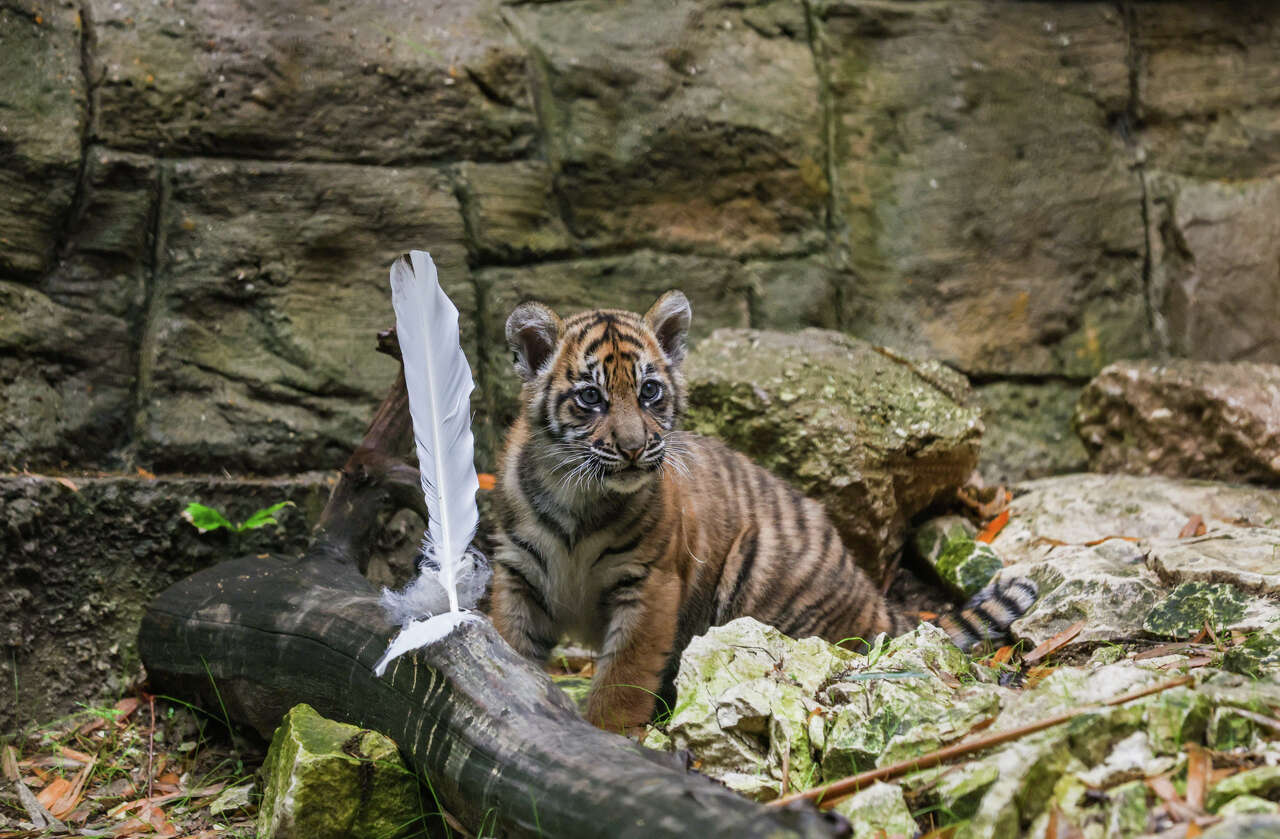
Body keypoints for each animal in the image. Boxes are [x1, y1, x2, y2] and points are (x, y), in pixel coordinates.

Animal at [489, 291, 1036, 733]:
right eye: (590, 397)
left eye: (649, 391)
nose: (633, 448)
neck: (578, 499)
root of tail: (871, 596)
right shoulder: (519, 573)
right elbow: (511, 645)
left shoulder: (650, 583)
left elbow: (624, 675)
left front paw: (610, 735)